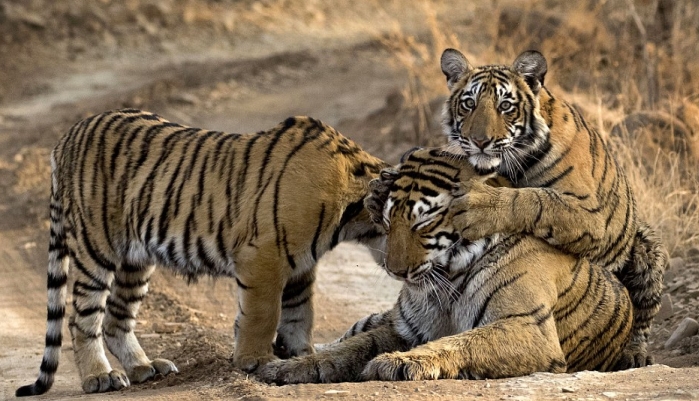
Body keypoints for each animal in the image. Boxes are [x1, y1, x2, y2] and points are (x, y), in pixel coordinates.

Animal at [15, 110, 388, 396]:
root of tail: (67, 136)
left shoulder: (301, 267)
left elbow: (300, 314)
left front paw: (301, 355)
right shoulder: (264, 256)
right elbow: (263, 313)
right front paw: (256, 360)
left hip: (135, 260)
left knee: (116, 318)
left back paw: (144, 367)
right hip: (97, 246)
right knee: (82, 318)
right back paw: (100, 377)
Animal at [257, 147, 633, 384]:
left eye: (423, 223)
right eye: (387, 221)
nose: (395, 271)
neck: (450, 279)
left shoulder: (529, 329)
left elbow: (463, 341)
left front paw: (400, 362)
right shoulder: (402, 328)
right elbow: (351, 348)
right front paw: (289, 368)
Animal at [371, 48, 667, 368]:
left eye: (505, 106)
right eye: (468, 104)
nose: (480, 142)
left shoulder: (588, 214)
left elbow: (534, 199)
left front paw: (479, 206)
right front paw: (379, 190)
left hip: (647, 248)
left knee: (643, 317)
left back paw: (634, 355)